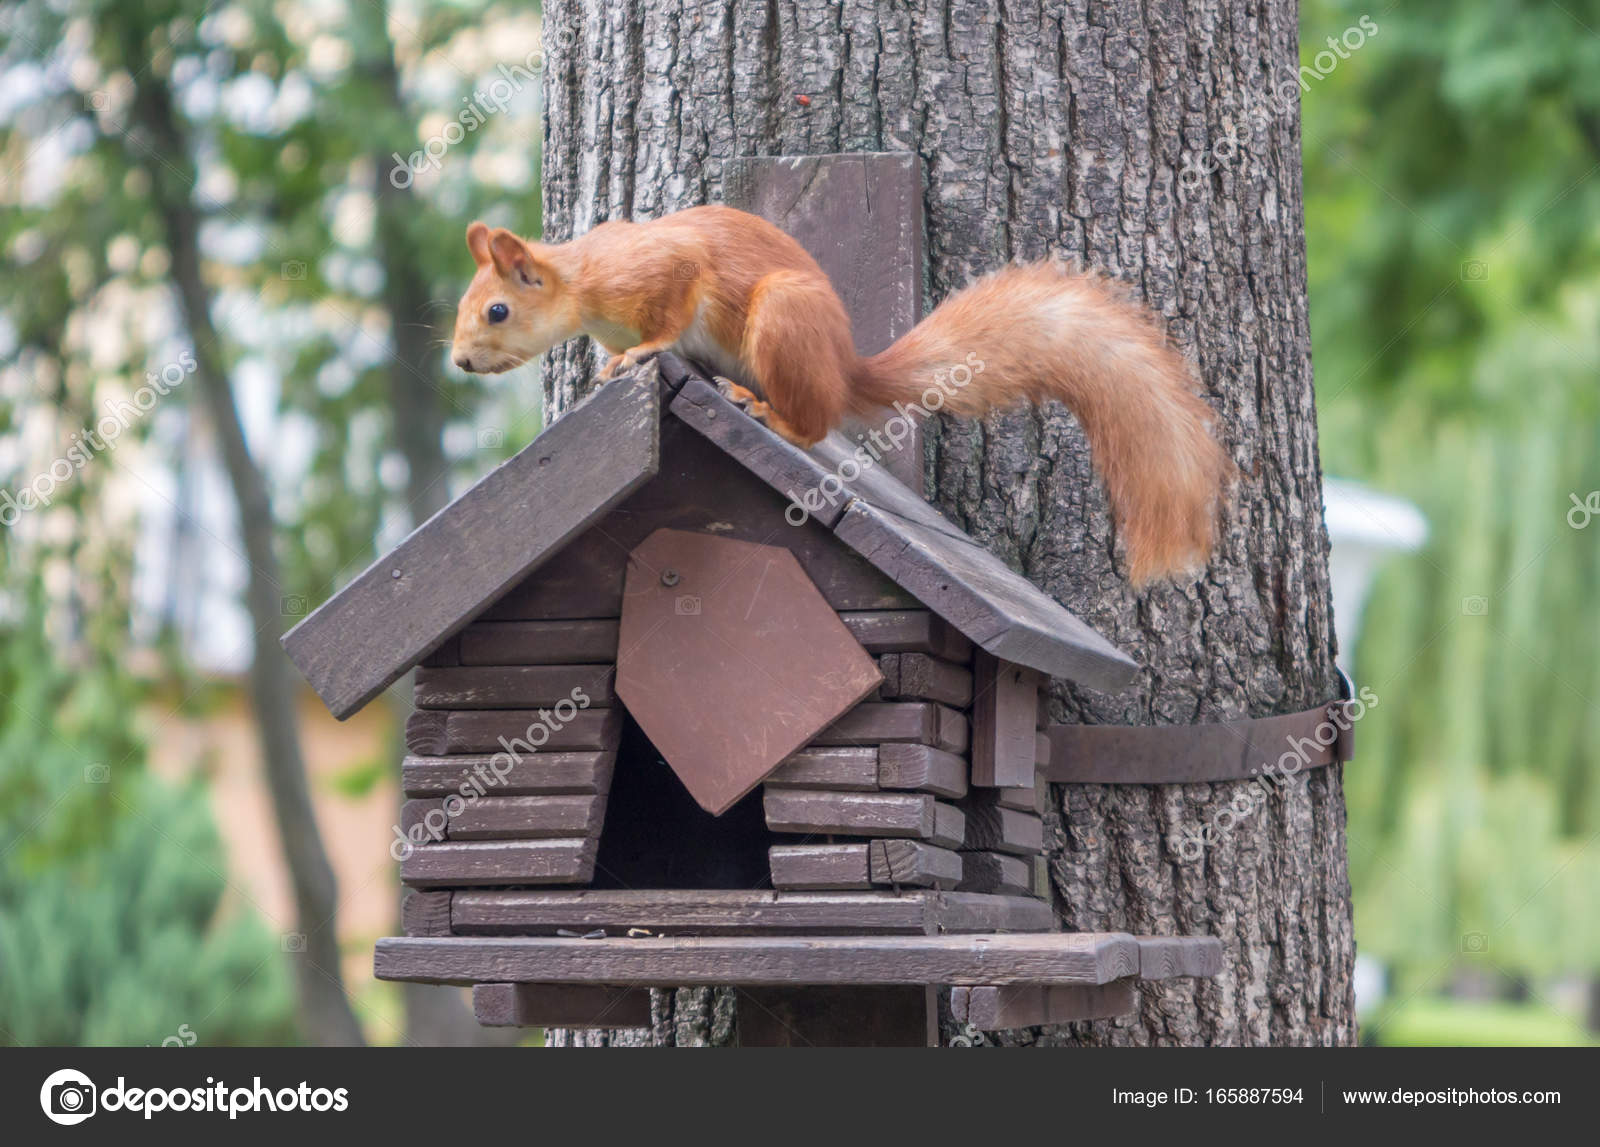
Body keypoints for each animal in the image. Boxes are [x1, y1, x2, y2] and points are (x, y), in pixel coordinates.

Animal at [451, 205, 1233, 583]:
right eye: (465, 303)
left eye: (497, 310)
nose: (458, 361)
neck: (584, 285)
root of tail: (844, 367)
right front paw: (610, 364)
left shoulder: (662, 270)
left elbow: (672, 310)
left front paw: (644, 351)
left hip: (782, 317)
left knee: (813, 417)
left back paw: (764, 410)